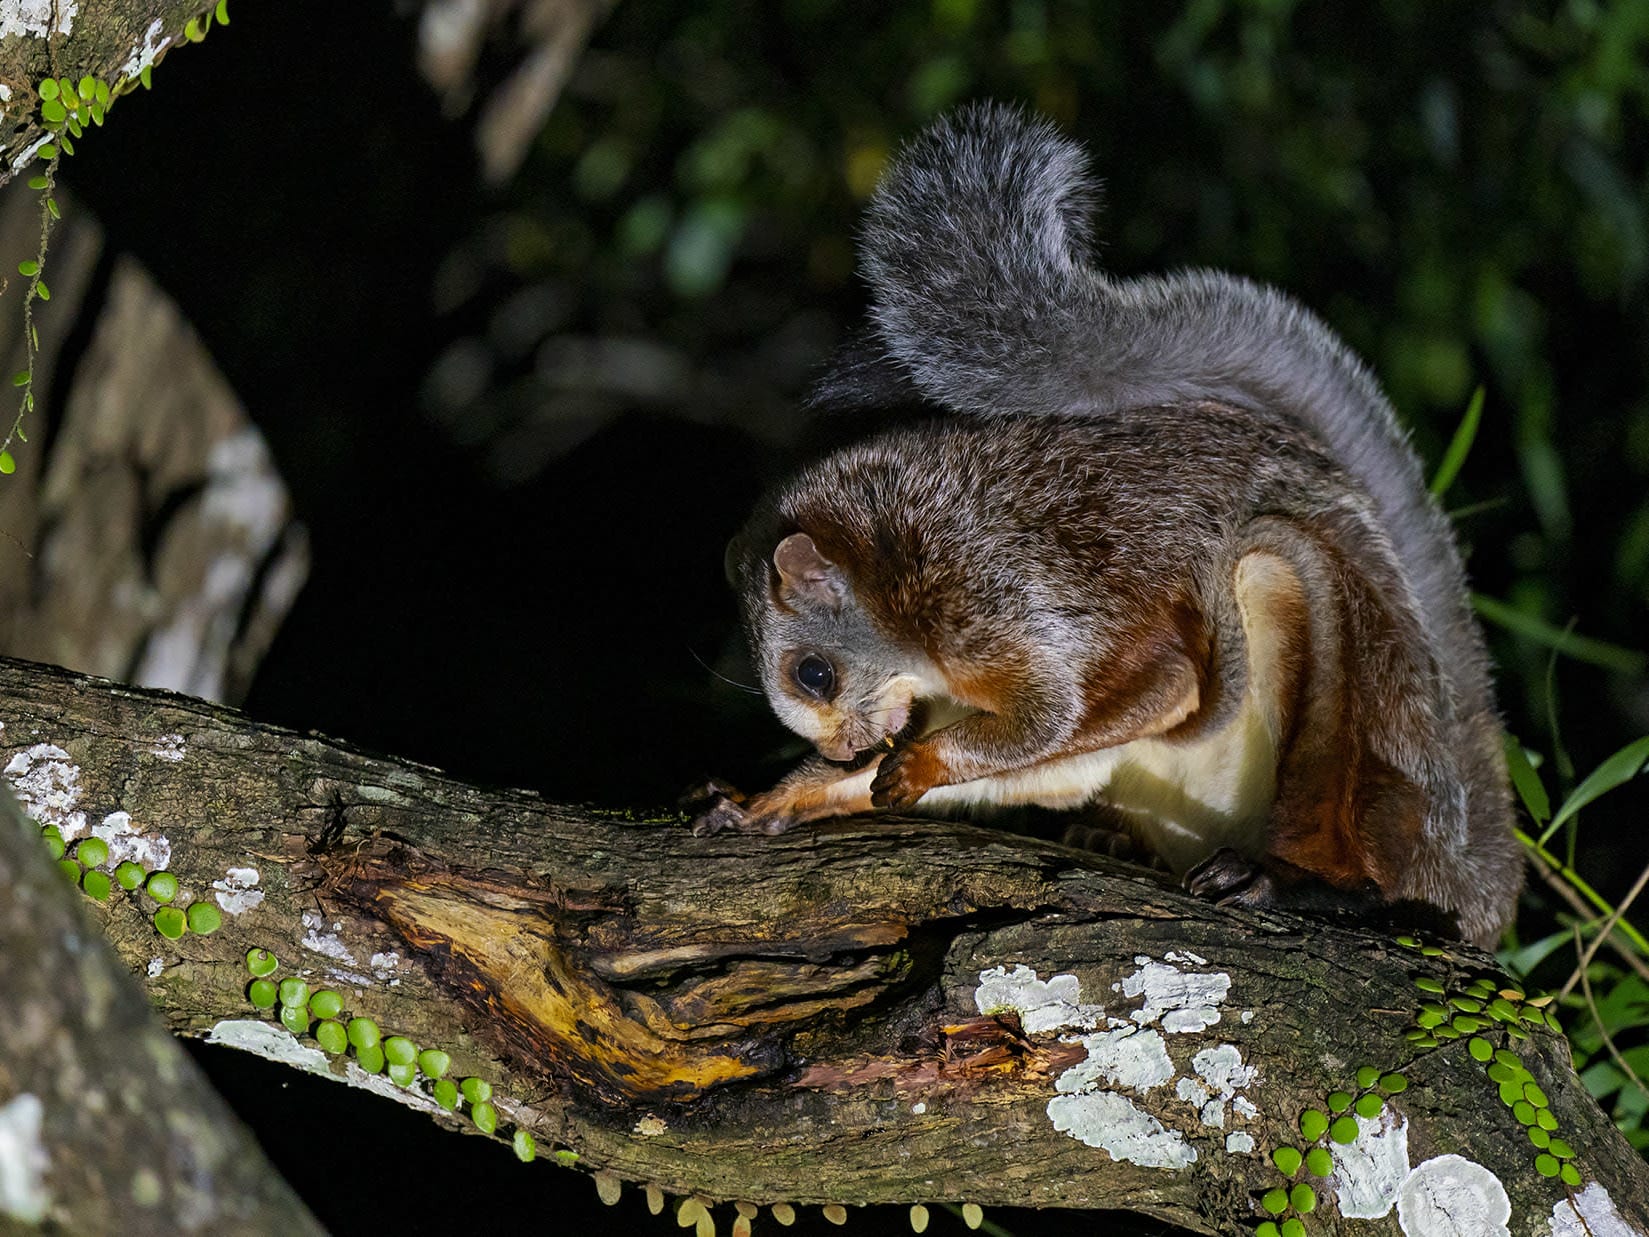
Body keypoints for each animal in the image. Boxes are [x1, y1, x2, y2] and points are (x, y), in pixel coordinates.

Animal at [692, 103, 1521, 947]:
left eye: (813, 674)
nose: (841, 745)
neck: (895, 583)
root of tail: (1465, 870)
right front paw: (775, 799)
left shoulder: (981, 594)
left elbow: (1111, 700)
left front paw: (923, 763)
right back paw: (1110, 836)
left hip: (1343, 689)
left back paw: (1299, 883)